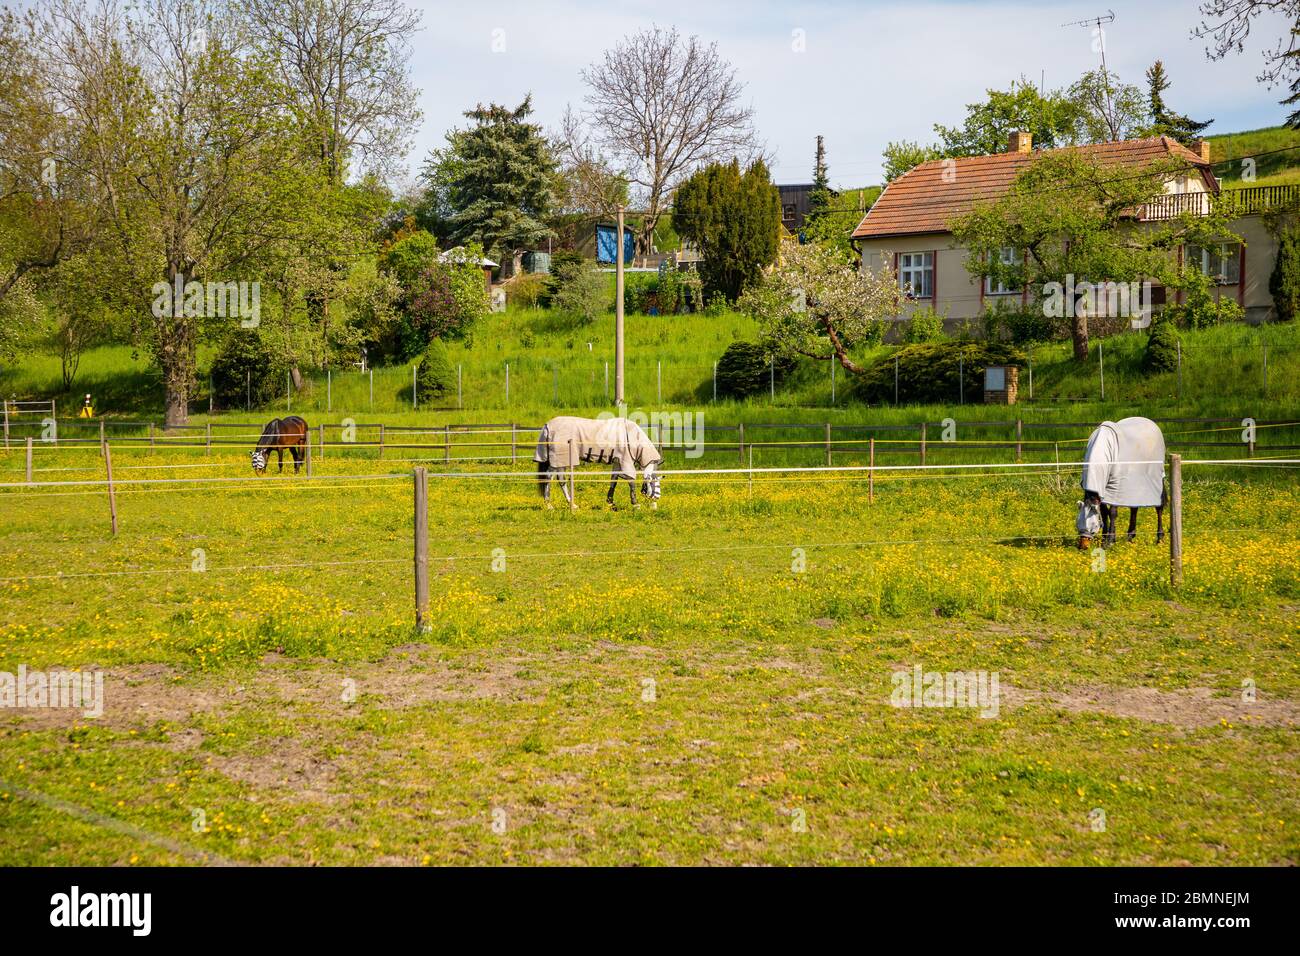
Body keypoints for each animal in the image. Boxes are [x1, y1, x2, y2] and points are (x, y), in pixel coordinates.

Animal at [1076, 416, 1167, 549]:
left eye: (1093, 528)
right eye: (1078, 526)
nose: (1082, 547)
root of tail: (1152, 423)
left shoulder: (1115, 487)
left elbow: (1113, 513)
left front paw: (1109, 542)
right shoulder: (1102, 489)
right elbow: (1104, 513)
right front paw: (1105, 540)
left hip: (1157, 480)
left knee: (1159, 507)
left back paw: (1159, 538)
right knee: (1134, 508)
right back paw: (1130, 537)